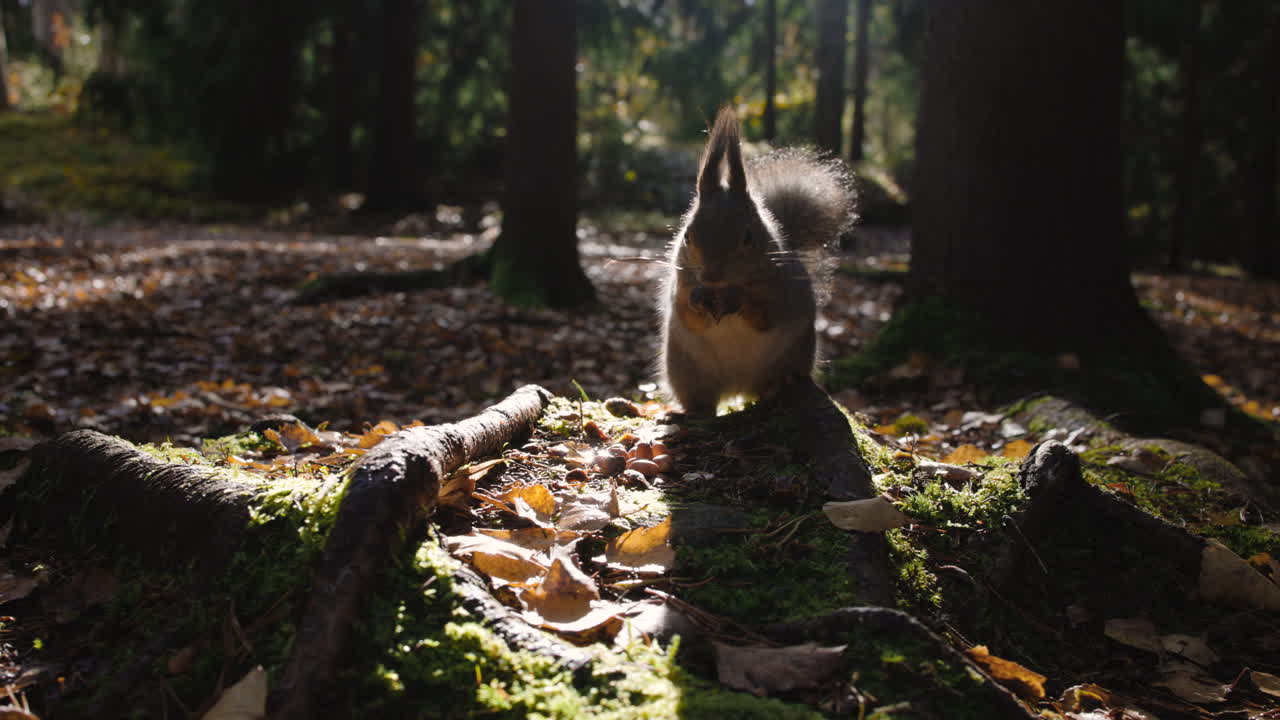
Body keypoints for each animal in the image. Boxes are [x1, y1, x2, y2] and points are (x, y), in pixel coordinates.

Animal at [658, 106, 855, 415]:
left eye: (748, 238)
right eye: (687, 235)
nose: (711, 277)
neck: (723, 288)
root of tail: (737, 387)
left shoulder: (781, 290)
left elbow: (766, 314)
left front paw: (739, 300)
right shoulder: (681, 285)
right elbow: (688, 315)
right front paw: (698, 301)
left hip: (794, 352)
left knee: (774, 382)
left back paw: (780, 383)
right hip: (686, 370)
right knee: (701, 402)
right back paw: (686, 414)